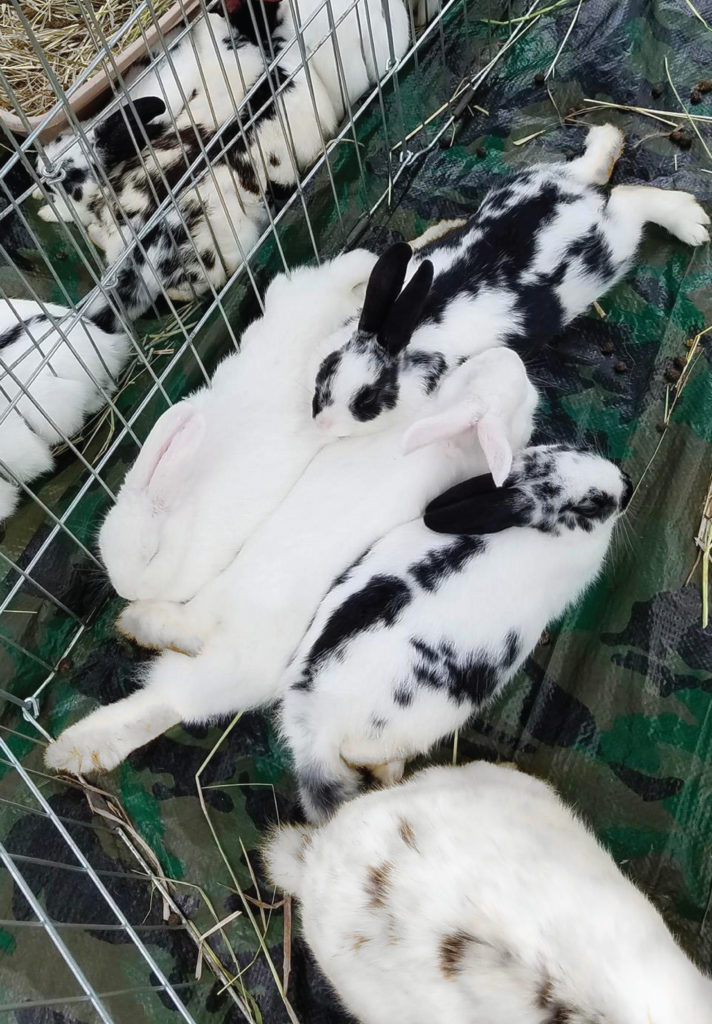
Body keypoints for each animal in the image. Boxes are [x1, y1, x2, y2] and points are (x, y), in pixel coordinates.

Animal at [44, 345, 538, 775]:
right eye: (484, 375)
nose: (514, 359)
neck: (450, 438)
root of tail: (219, 621)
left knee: (170, 683)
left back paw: (83, 727)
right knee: (175, 697)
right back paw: (72, 749)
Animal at [310, 123, 711, 439]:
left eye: (367, 398)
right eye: (325, 370)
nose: (322, 424)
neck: (413, 331)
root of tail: (578, 193)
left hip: (619, 239)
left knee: (632, 198)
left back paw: (692, 223)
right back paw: (607, 137)